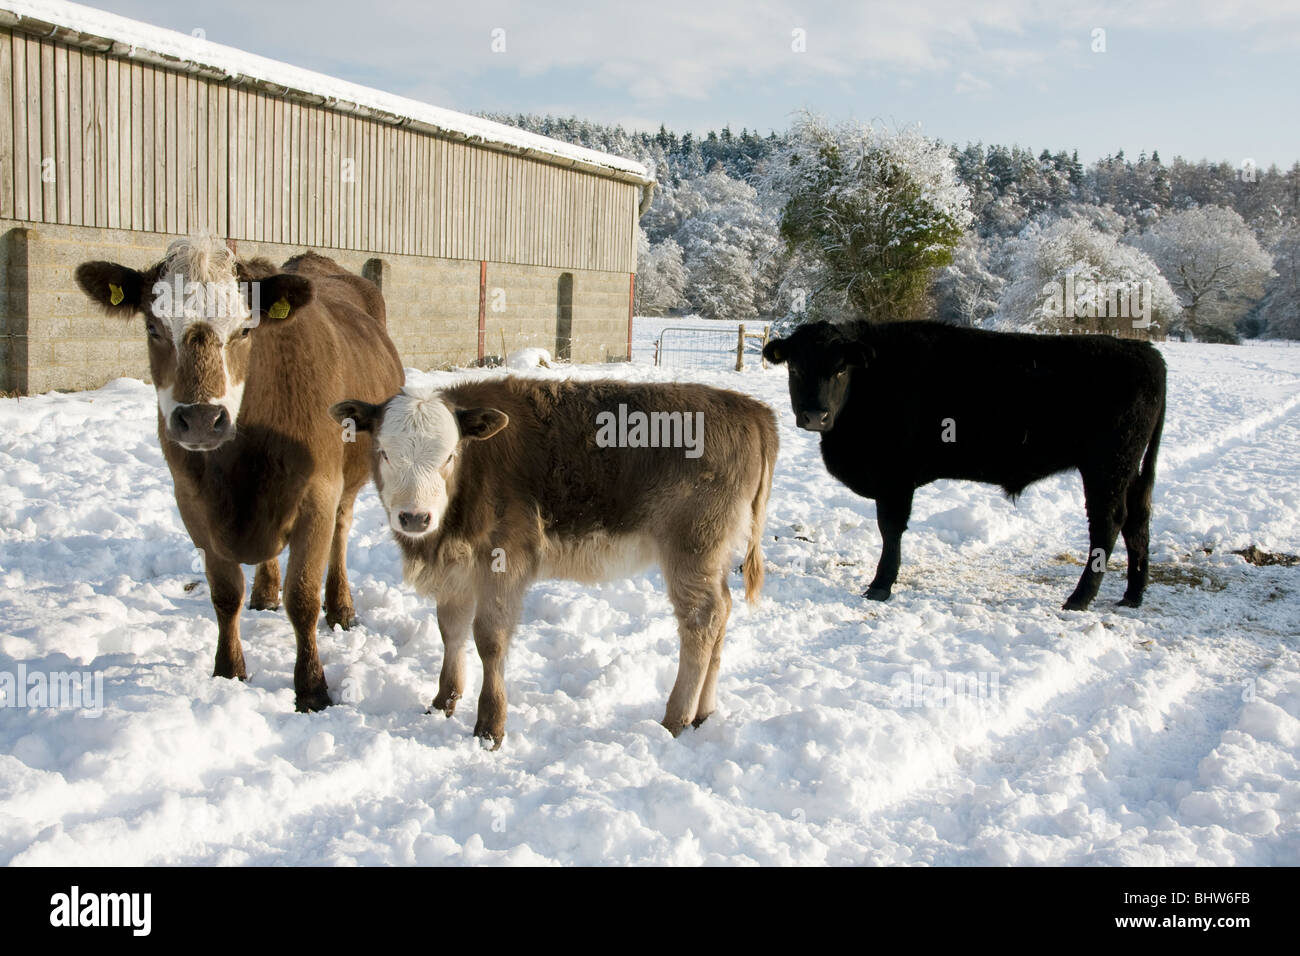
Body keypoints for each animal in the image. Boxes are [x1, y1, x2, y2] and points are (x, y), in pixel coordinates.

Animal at [75, 236, 404, 710]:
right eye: (153, 328)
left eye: (246, 330)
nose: (200, 419)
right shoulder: (192, 502)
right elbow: (225, 594)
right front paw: (228, 670)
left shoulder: (318, 493)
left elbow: (303, 597)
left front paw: (311, 686)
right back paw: (265, 593)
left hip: (348, 481)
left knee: (340, 535)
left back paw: (341, 607)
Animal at [328, 378, 778, 749]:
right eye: (384, 452)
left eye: (450, 455)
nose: (414, 517)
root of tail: (751, 410)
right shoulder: (455, 571)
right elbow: (451, 632)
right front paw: (443, 702)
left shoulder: (503, 564)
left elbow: (490, 640)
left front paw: (490, 727)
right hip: (711, 557)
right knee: (722, 613)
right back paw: (703, 713)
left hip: (691, 551)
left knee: (701, 622)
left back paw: (675, 718)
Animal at [762, 320, 1166, 611]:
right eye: (795, 367)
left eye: (841, 369)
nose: (815, 416)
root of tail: (1143, 350)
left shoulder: (895, 479)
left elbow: (890, 530)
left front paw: (880, 586)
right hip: (1129, 470)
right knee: (1137, 520)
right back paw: (1132, 595)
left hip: (1107, 467)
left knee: (1108, 523)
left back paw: (1080, 598)